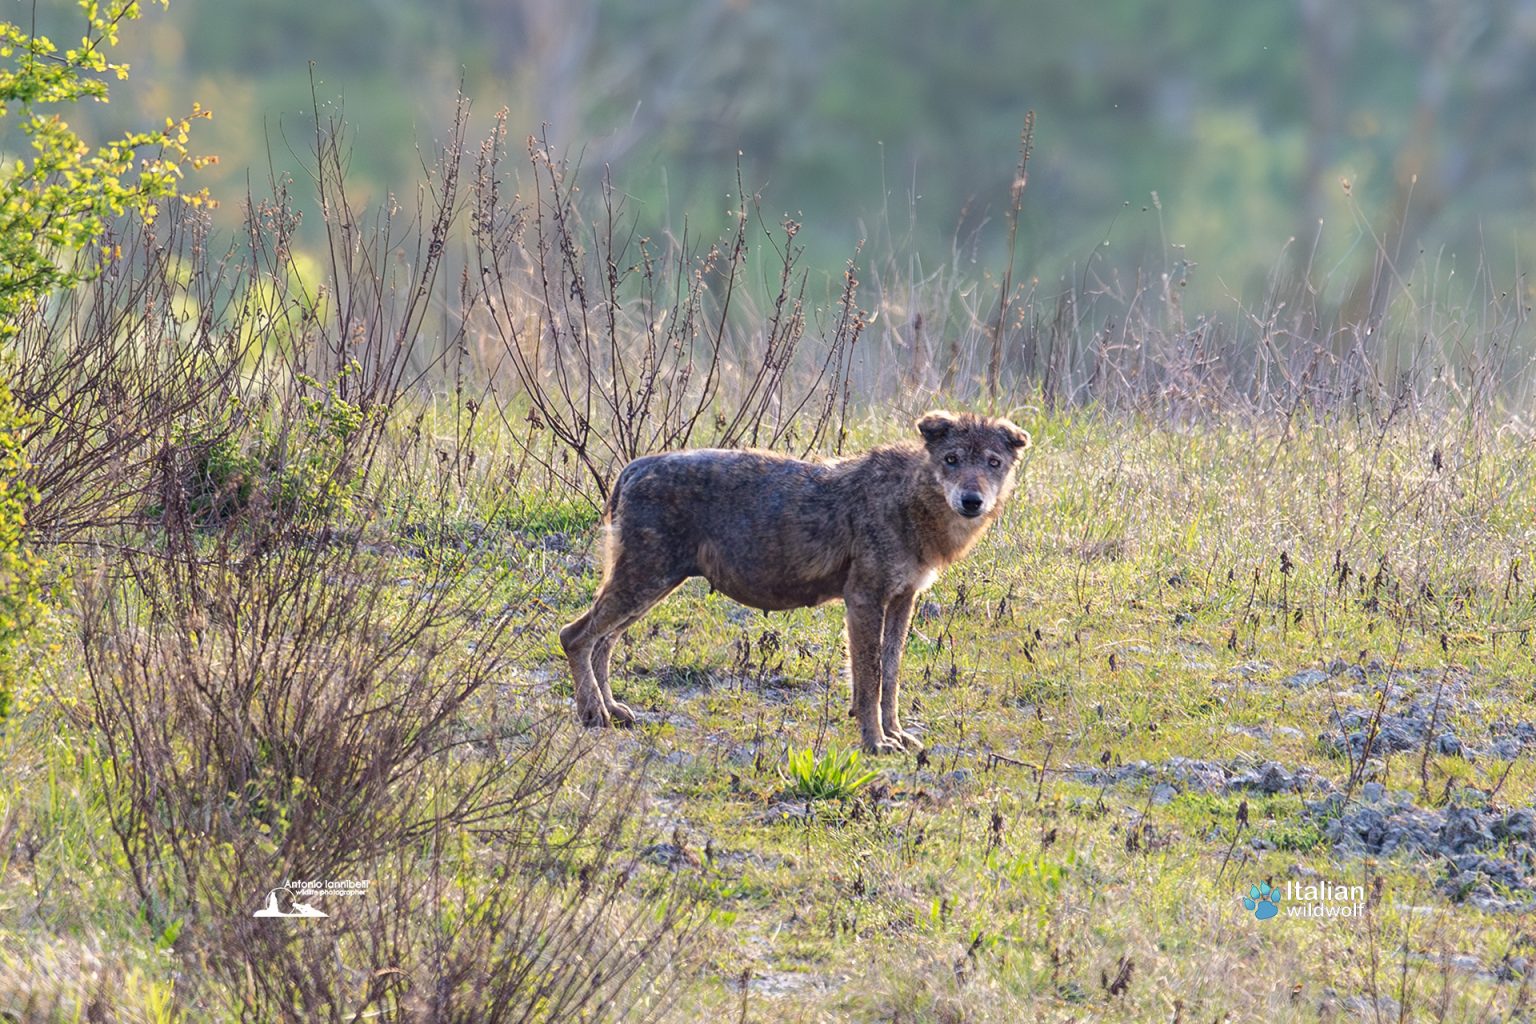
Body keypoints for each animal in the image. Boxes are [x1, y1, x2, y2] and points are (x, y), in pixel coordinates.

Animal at [558, 410, 1030, 754]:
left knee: (602, 642)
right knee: (574, 635)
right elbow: (870, 678)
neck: (913, 505)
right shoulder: (864, 598)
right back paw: (593, 714)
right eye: (952, 459)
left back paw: (612, 708)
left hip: (649, 588)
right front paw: (875, 743)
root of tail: (636, 465)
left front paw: (895, 735)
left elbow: (892, 674)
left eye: (992, 463)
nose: (972, 500)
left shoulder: (903, 599)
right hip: (646, 582)